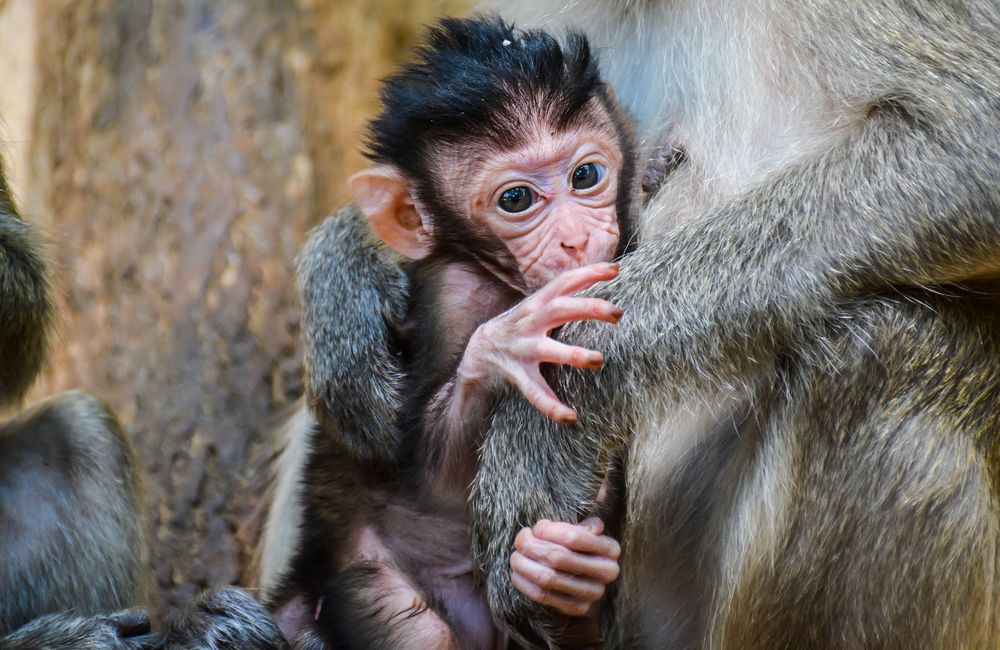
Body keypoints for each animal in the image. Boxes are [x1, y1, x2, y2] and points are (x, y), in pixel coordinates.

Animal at [246, 0, 1000, 648]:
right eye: (516, 200)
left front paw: (548, 421)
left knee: (879, 350)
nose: (577, 239)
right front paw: (345, 267)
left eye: (586, 177)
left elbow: (969, 154)